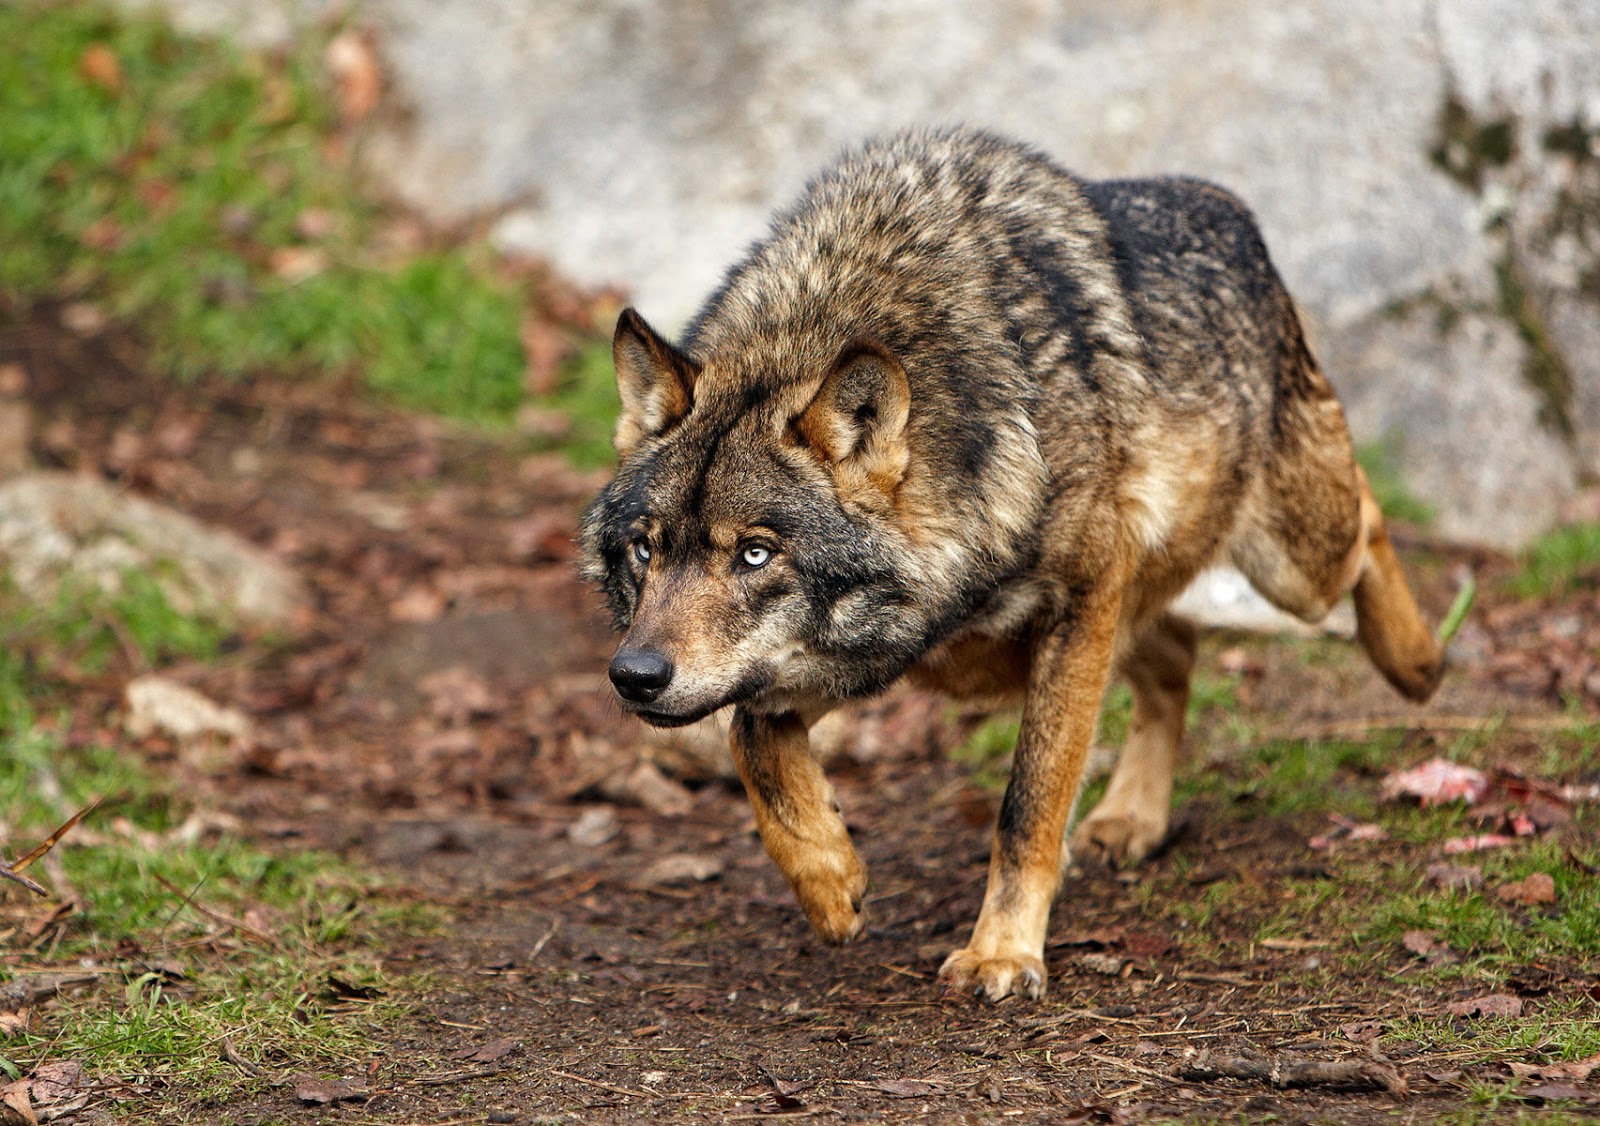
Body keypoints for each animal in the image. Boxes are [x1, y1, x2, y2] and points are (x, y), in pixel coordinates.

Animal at [579, 127, 1443, 1002]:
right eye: (646, 548)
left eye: (755, 554)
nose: (635, 676)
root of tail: (1225, 203)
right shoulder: (879, 650)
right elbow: (754, 738)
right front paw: (830, 882)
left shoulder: (1079, 603)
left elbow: (1027, 803)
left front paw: (1001, 952)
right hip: (1138, 602)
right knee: (1175, 651)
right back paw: (1133, 818)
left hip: (1290, 565)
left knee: (1368, 518)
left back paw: (1417, 662)